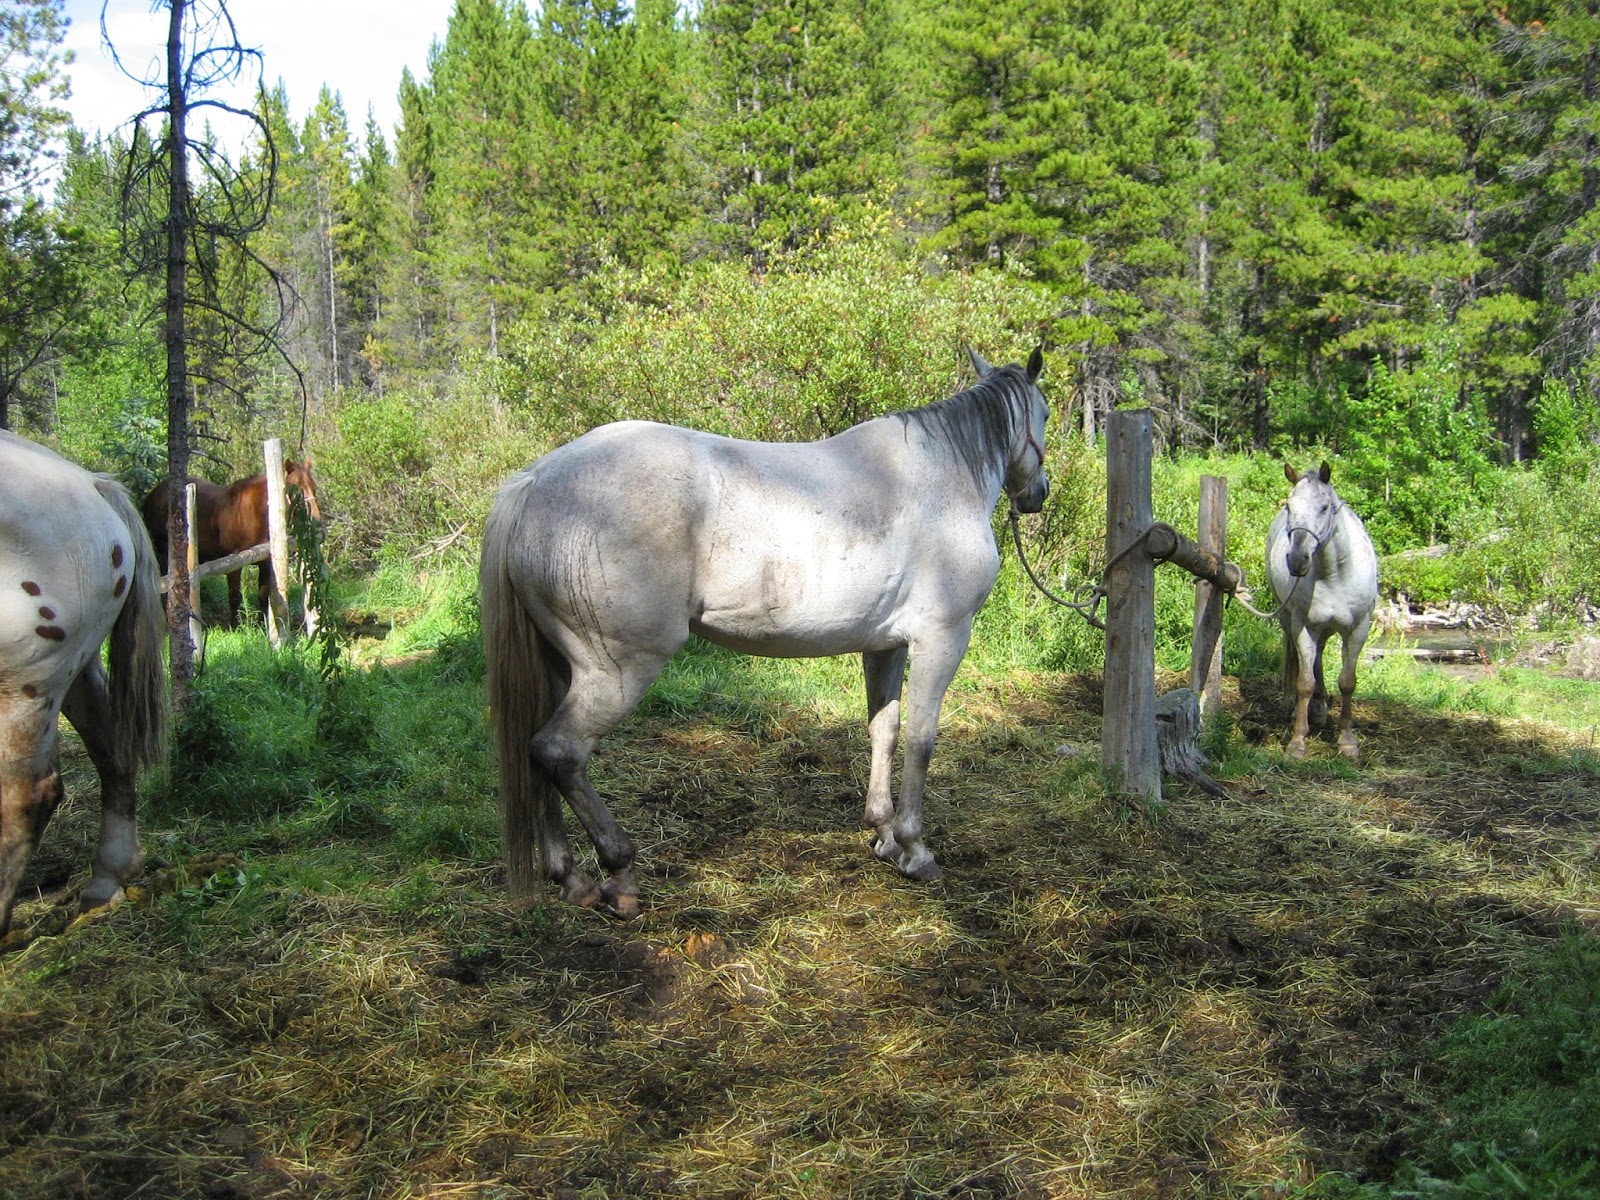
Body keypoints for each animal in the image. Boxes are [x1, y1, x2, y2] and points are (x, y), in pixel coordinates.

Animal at [0, 432, 169, 937]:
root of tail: (92, 486)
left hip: (29, 682)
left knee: (27, 797)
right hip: (76, 670)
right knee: (113, 751)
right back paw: (107, 879)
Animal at [141, 458, 321, 628]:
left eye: (314, 487)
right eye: (296, 489)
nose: (317, 522)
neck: (253, 512)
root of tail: (151, 496)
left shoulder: (265, 561)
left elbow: (263, 595)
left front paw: (261, 625)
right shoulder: (233, 562)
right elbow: (235, 596)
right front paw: (233, 626)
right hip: (164, 553)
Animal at [481, 347, 1050, 918]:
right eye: (1045, 414)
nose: (1037, 495)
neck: (940, 480)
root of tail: (532, 484)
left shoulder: (885, 646)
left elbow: (883, 731)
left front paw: (884, 835)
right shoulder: (942, 638)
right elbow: (921, 741)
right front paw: (914, 849)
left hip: (560, 667)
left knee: (537, 756)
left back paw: (570, 876)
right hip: (618, 671)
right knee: (559, 752)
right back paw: (619, 873)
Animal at [1266, 461, 1379, 761]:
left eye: (1324, 507)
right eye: (1289, 505)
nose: (1296, 560)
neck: (1334, 575)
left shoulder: (1358, 629)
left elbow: (1348, 682)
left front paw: (1347, 741)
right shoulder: (1303, 626)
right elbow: (1304, 682)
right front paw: (1297, 742)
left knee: (1318, 656)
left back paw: (1318, 708)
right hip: (1291, 621)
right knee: (1305, 659)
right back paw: (1301, 707)